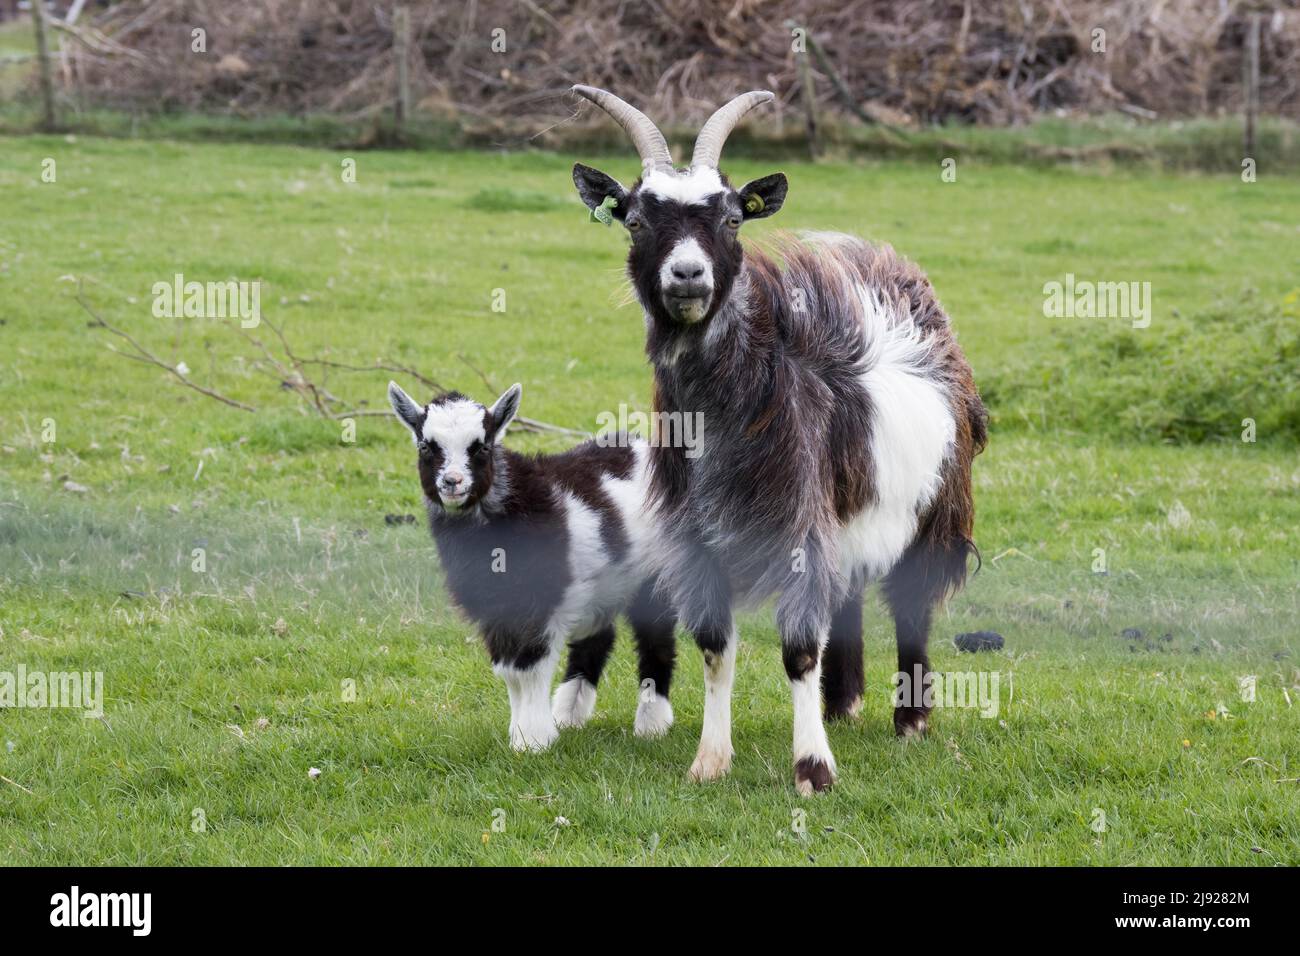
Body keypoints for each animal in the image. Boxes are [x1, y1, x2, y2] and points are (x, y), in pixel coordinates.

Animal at [387, 380, 677, 751]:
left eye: (482, 447)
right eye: (426, 446)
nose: (452, 482)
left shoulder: (539, 602)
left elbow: (529, 667)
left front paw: (532, 741)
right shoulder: (494, 608)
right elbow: (510, 671)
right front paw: (525, 734)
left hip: (657, 569)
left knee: (656, 636)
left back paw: (652, 722)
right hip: (602, 581)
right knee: (596, 636)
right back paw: (569, 712)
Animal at [570, 86, 988, 795]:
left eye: (733, 218)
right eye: (637, 220)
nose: (688, 276)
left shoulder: (799, 523)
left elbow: (798, 648)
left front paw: (813, 769)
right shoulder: (699, 535)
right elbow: (716, 646)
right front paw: (710, 760)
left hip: (935, 504)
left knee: (911, 603)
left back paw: (909, 721)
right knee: (848, 594)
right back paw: (844, 704)